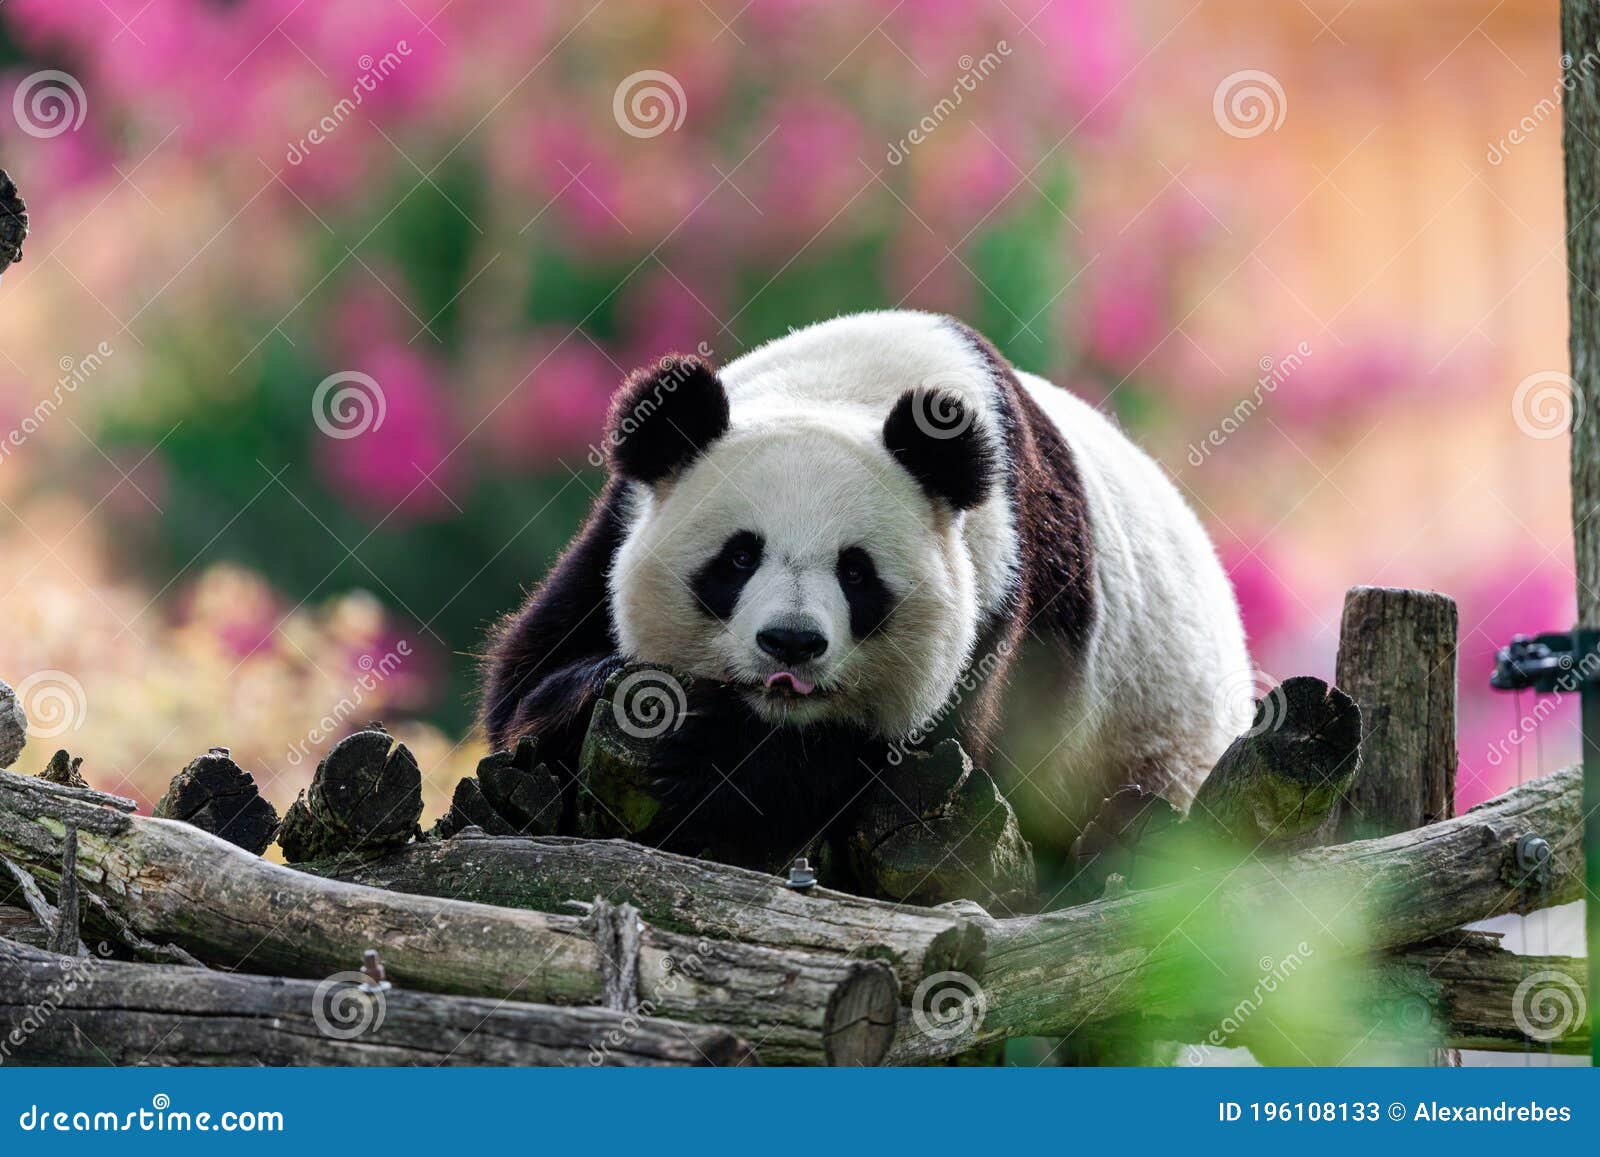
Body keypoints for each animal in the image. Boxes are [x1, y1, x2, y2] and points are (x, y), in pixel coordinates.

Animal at [482, 310, 1252, 874]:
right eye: (738, 557)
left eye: (857, 573)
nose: (791, 642)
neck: (849, 389)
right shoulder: (619, 520)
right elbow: (524, 690)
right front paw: (648, 706)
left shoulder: (1011, 590)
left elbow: (912, 759)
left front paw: (713, 758)